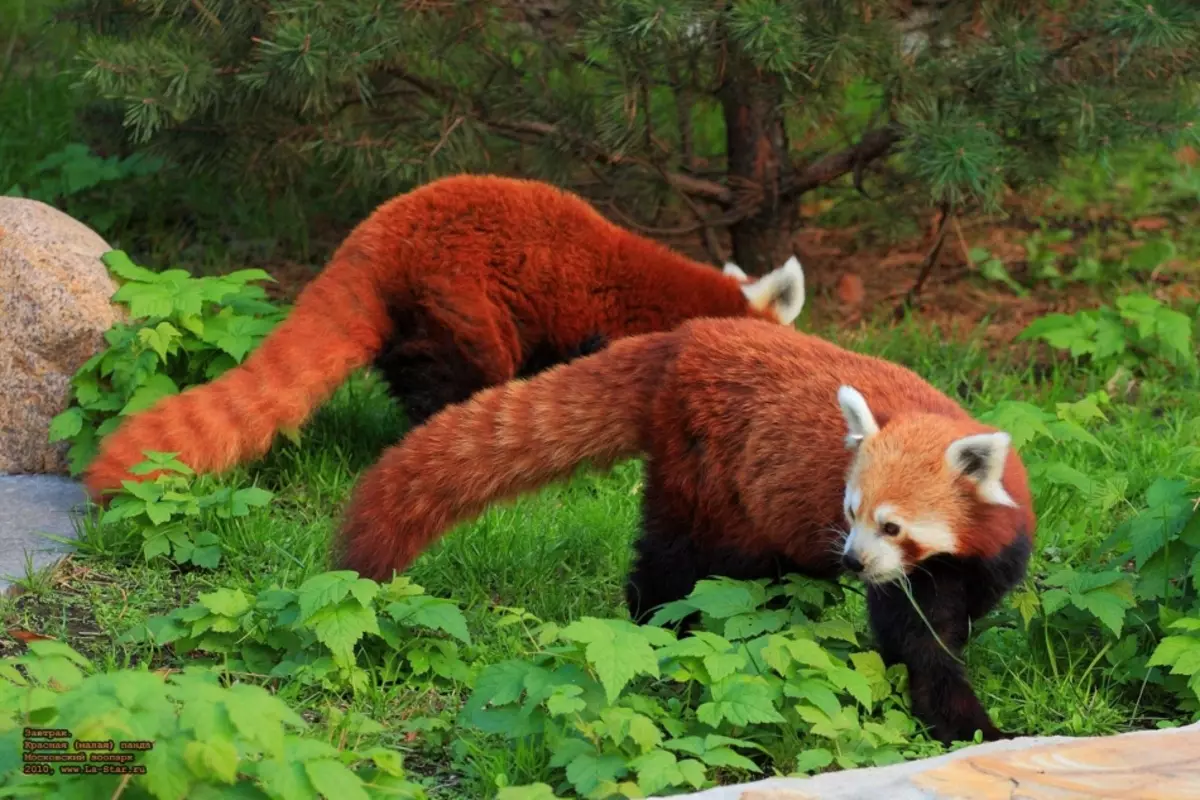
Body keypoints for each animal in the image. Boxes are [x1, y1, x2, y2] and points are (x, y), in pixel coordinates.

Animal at [333, 316, 1036, 743]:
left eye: (891, 526)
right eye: (850, 512)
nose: (853, 562)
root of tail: (683, 337)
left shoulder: (981, 556)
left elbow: (958, 612)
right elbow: (917, 641)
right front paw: (967, 723)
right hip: (700, 473)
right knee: (675, 562)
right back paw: (657, 628)